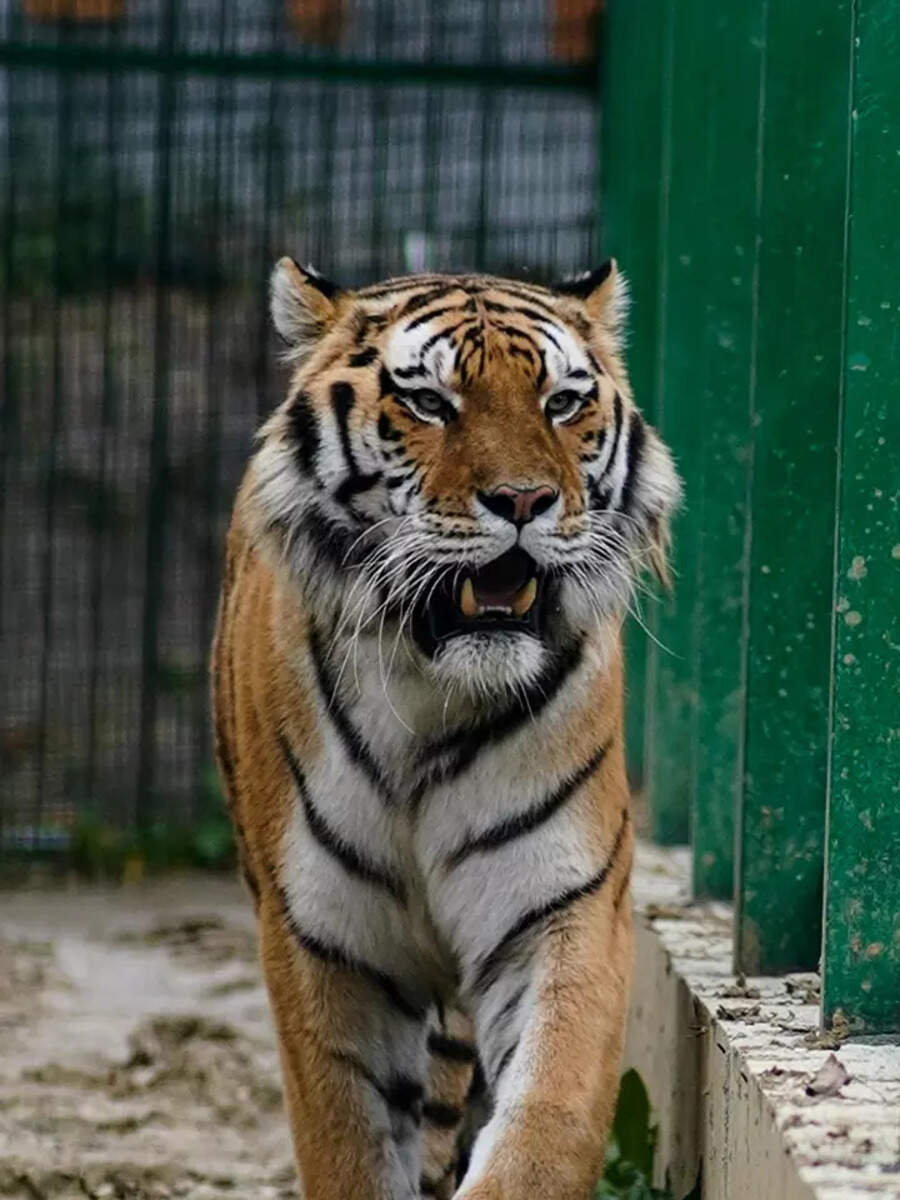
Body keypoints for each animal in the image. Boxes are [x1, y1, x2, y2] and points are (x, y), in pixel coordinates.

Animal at [211, 257, 680, 1200]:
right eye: (429, 402)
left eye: (562, 402)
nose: (524, 500)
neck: (431, 698)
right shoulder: (326, 945)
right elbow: (347, 1144)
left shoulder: (561, 912)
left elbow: (543, 1126)